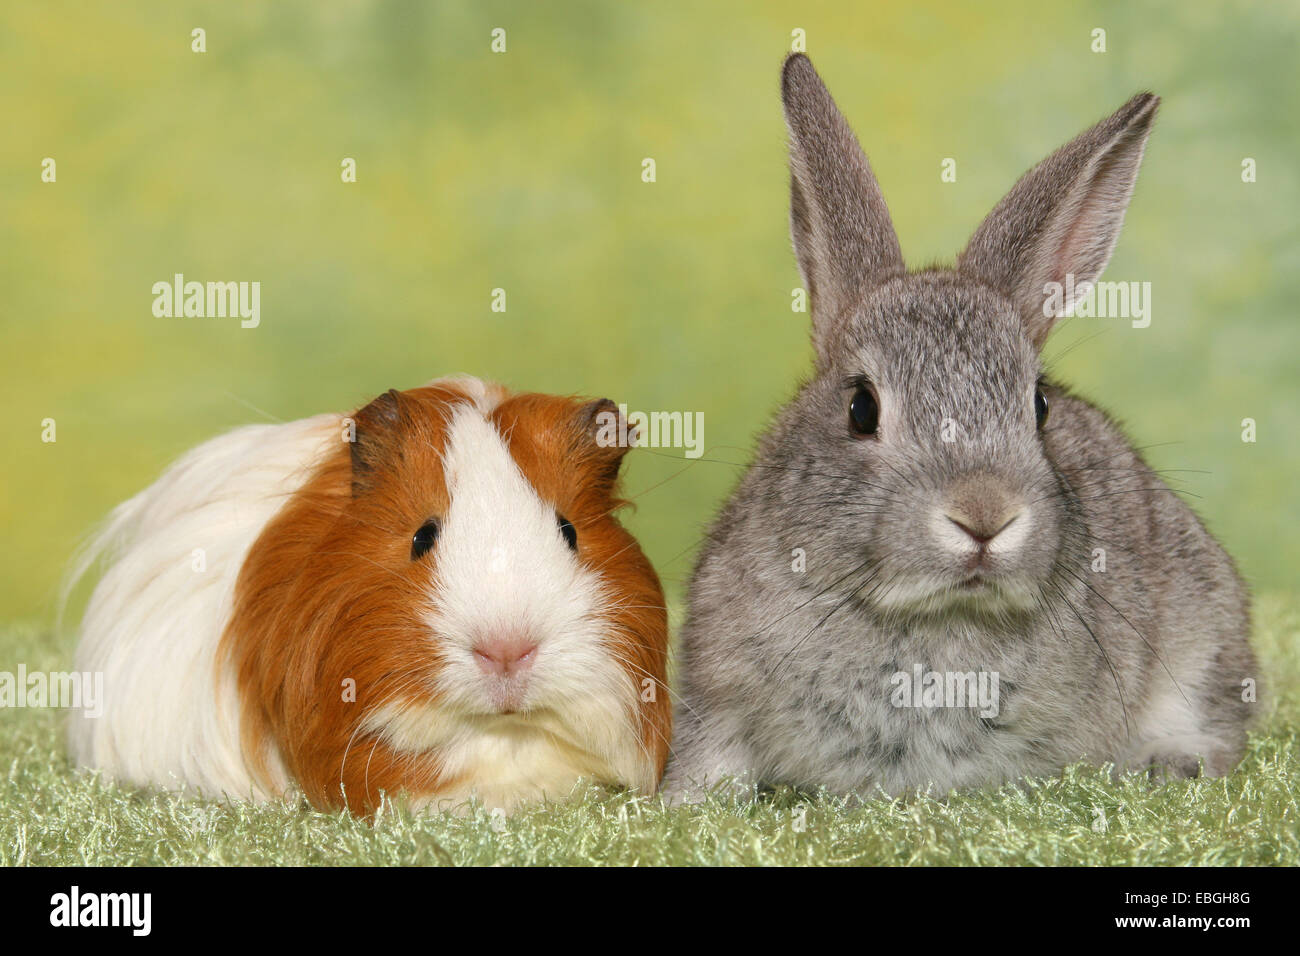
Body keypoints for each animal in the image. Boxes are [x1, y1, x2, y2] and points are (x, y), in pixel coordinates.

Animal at [661, 54, 1257, 803]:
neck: (934, 616)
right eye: (861, 408)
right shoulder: (717, 690)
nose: (984, 515)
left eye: (1039, 405)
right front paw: (681, 805)